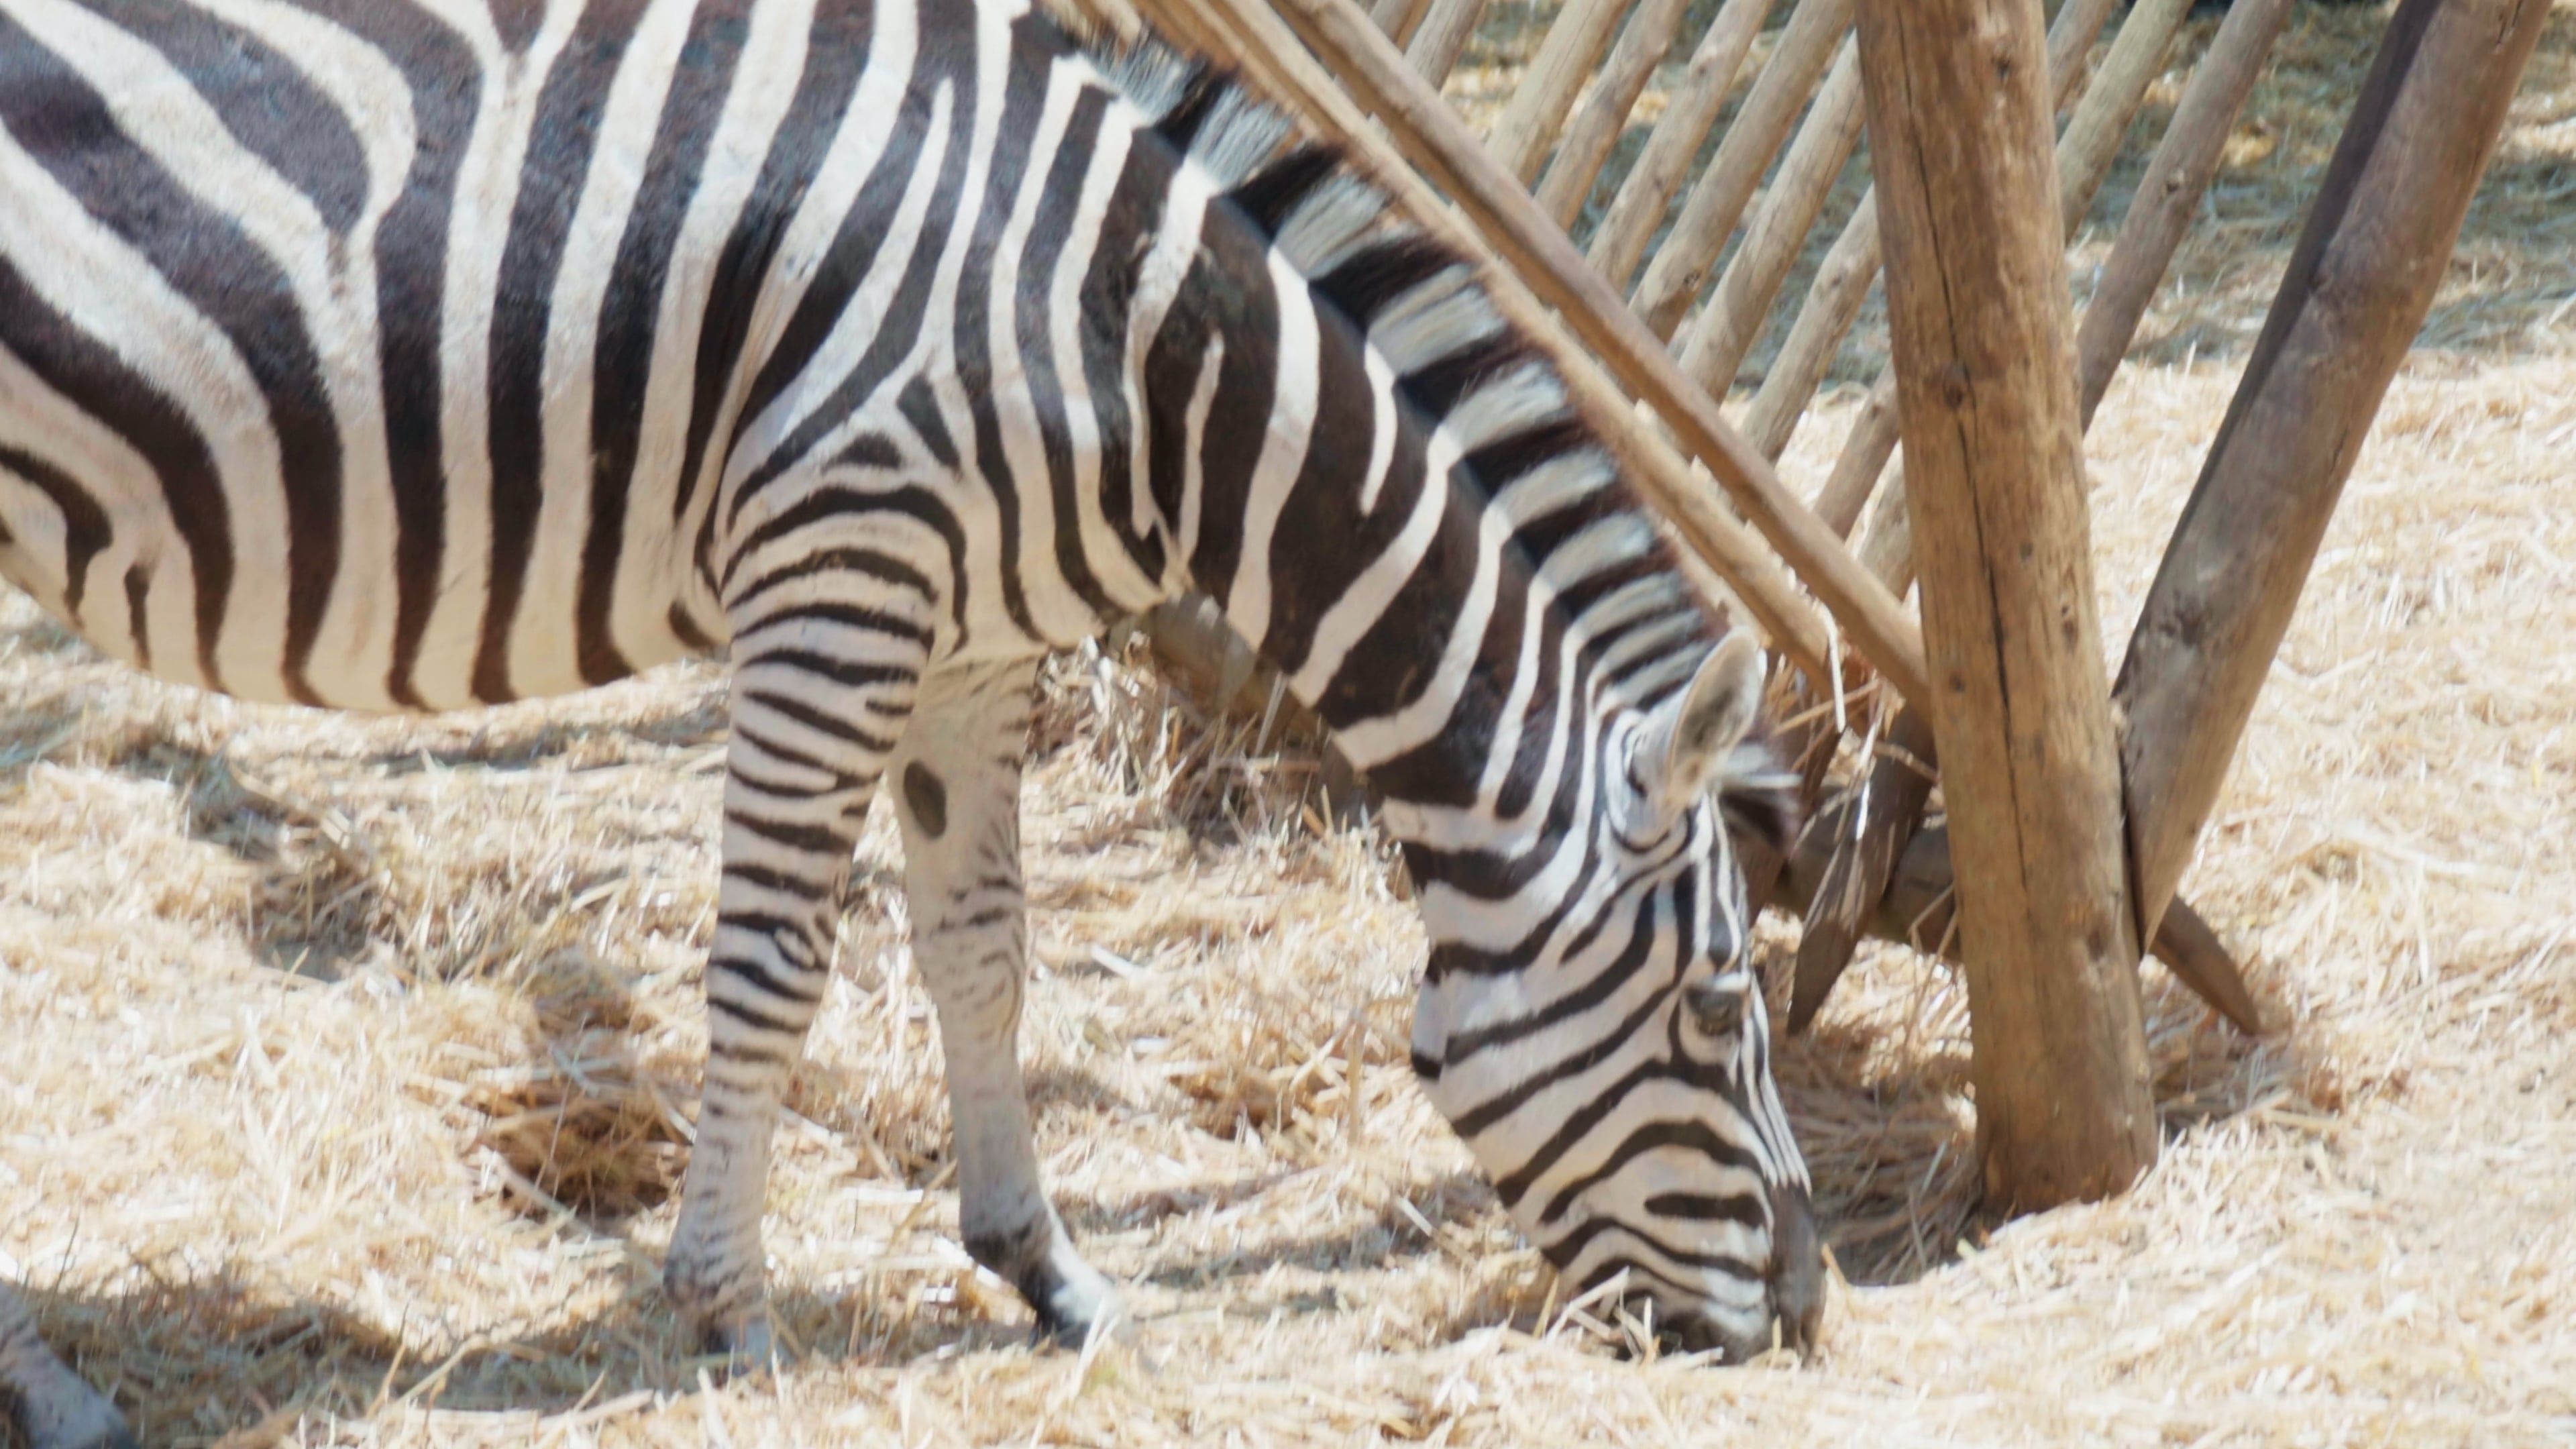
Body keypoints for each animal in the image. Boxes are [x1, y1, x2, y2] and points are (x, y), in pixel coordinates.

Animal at [0, 0, 1826, 1440]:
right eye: (1714, 1006)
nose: (1810, 1317)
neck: (1138, 347)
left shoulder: (970, 639)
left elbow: (983, 943)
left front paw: (1044, 1269)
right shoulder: (840, 570)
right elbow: (774, 966)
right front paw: (726, 1309)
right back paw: (61, 1393)